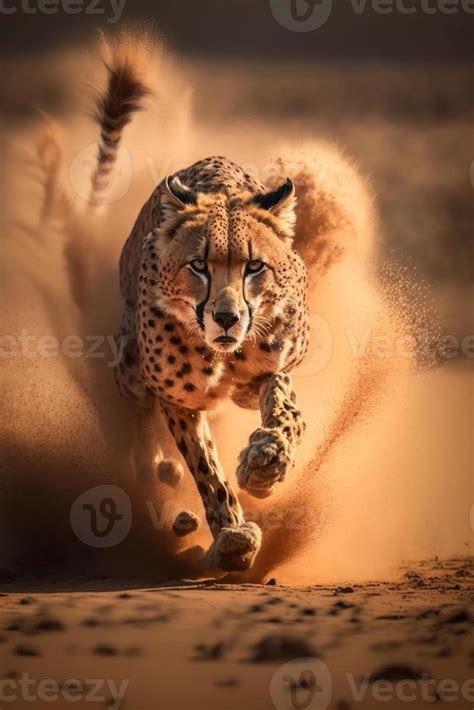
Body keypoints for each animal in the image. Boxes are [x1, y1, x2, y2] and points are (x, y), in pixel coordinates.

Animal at [93, 53, 309, 572]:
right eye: (199, 266)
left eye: (254, 266)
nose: (227, 318)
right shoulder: (178, 398)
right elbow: (205, 466)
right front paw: (231, 533)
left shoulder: (269, 370)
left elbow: (286, 404)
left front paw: (266, 462)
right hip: (130, 368)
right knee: (137, 421)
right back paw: (160, 476)